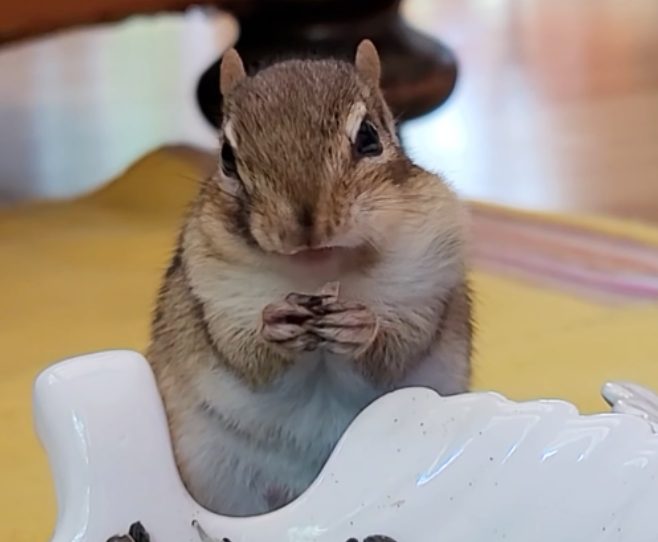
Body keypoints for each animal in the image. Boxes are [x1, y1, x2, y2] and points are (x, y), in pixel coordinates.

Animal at [146, 40, 473, 517]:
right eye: (226, 158)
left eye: (369, 137)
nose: (304, 228)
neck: (321, 273)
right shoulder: (214, 294)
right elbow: (246, 357)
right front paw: (275, 324)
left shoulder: (426, 285)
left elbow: (397, 350)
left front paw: (362, 326)